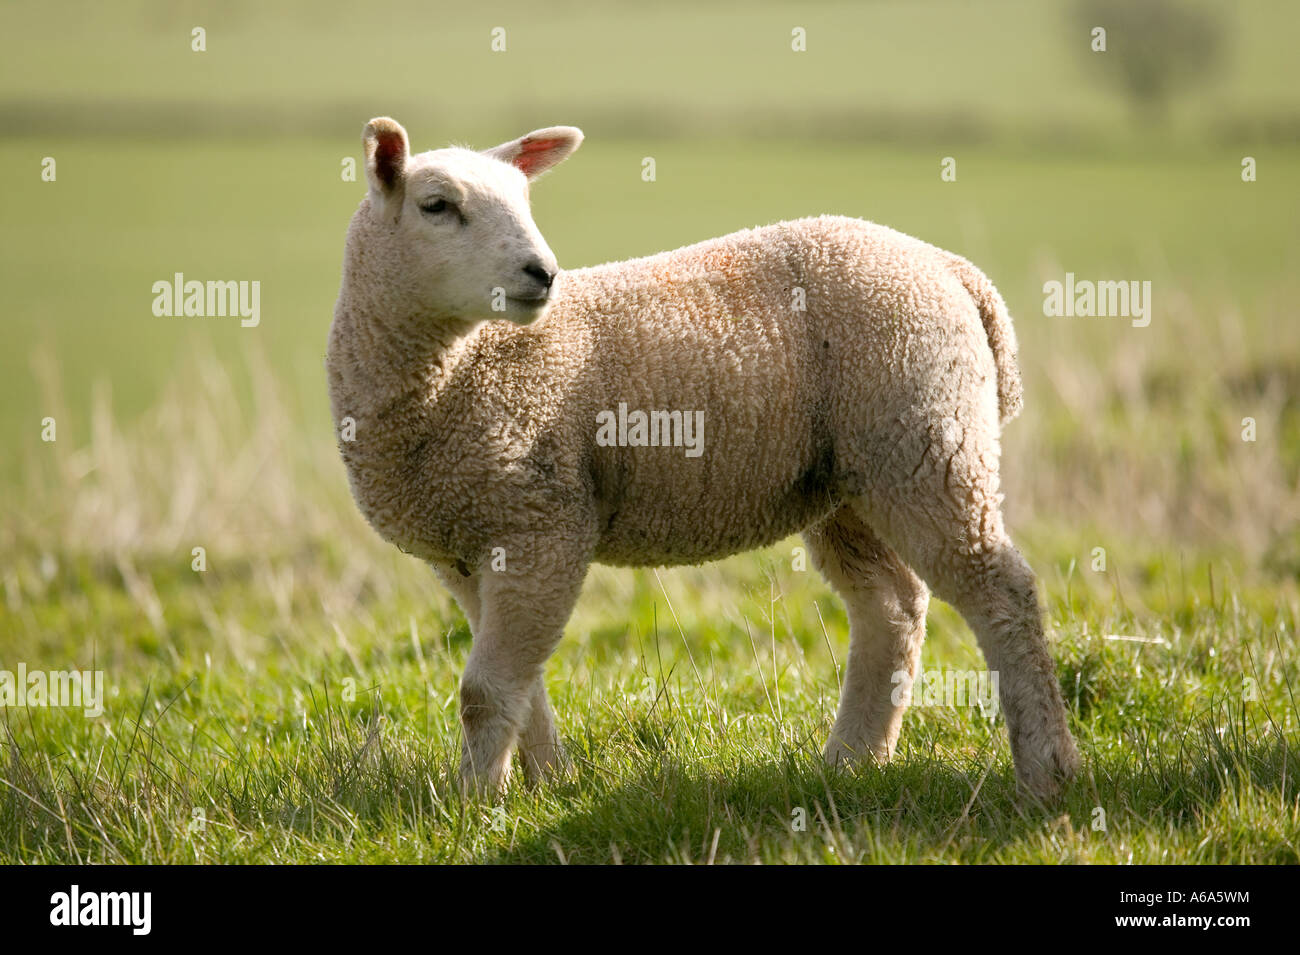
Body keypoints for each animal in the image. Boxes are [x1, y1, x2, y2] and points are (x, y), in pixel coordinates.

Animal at [326, 117, 1081, 801]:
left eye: (525, 202)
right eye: (436, 206)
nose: (543, 274)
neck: (462, 366)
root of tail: (952, 271)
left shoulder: (540, 524)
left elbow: (483, 690)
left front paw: (474, 804)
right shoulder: (464, 546)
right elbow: (521, 681)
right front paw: (543, 782)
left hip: (926, 442)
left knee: (1000, 591)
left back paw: (1046, 770)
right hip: (850, 476)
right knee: (891, 605)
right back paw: (853, 759)